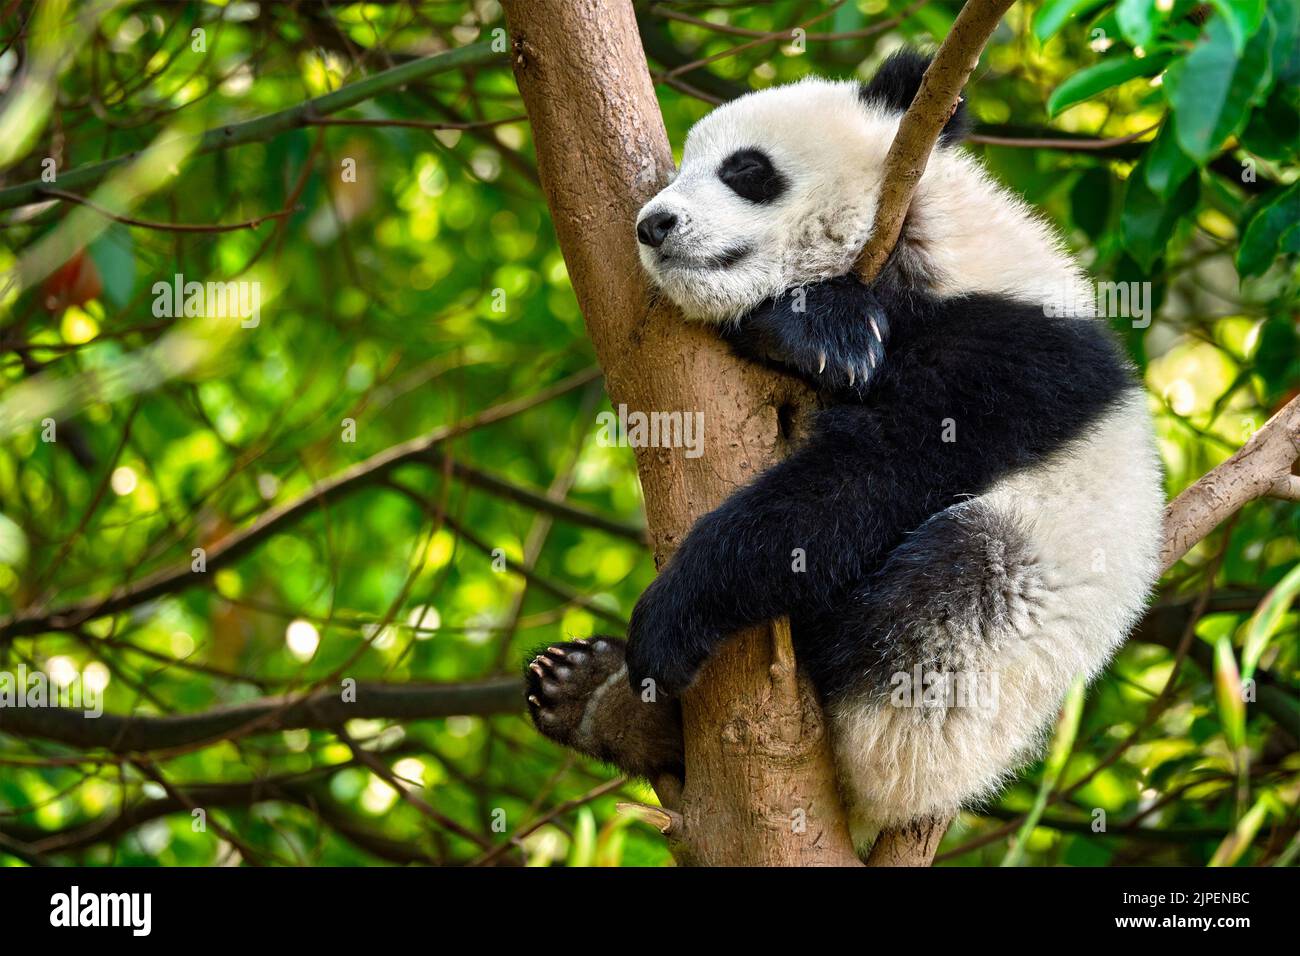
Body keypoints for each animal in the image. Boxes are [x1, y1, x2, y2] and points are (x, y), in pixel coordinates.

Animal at [525, 50, 1165, 849]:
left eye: (747, 170)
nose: (654, 223)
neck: (924, 241)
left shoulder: (1012, 352)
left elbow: (875, 475)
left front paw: (674, 611)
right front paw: (806, 335)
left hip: (990, 650)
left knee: (947, 588)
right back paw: (589, 695)